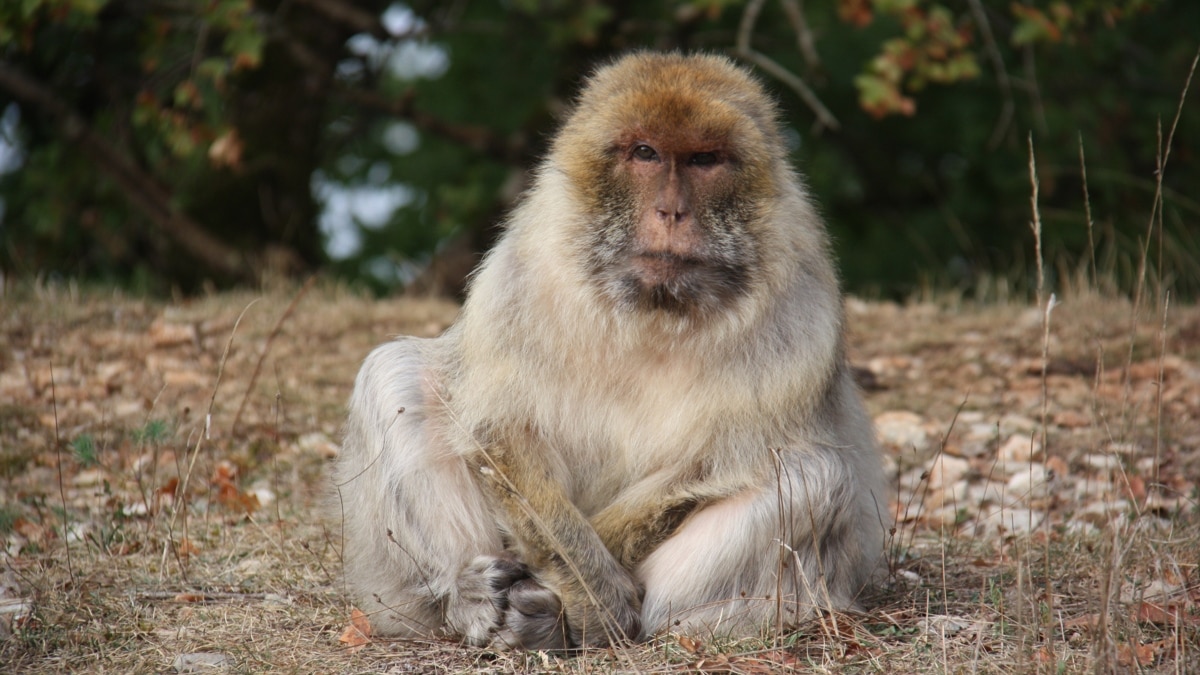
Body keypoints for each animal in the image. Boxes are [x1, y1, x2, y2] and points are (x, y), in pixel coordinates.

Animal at [332, 52, 886, 650]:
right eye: (645, 153)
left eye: (705, 160)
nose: (671, 212)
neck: (653, 309)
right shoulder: (523, 271)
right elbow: (501, 431)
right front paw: (593, 589)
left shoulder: (800, 307)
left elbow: (721, 463)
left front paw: (592, 598)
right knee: (394, 374)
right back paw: (471, 599)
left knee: (812, 474)